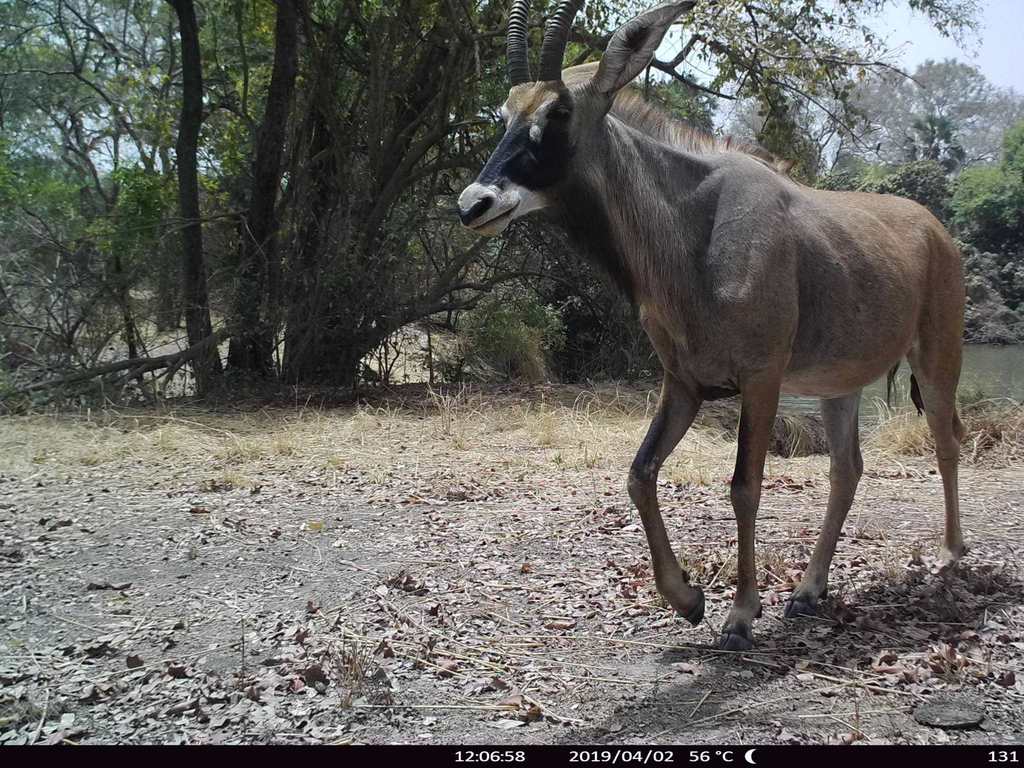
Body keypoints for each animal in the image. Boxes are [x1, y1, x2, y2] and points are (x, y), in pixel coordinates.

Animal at [458, 0, 966, 650]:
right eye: (505, 112)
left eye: (560, 110)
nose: (474, 204)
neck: (694, 223)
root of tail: (936, 229)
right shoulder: (685, 383)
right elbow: (640, 473)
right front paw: (687, 598)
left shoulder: (761, 378)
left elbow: (744, 486)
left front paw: (740, 614)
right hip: (839, 385)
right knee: (846, 470)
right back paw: (809, 591)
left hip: (938, 357)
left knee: (946, 443)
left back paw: (950, 556)